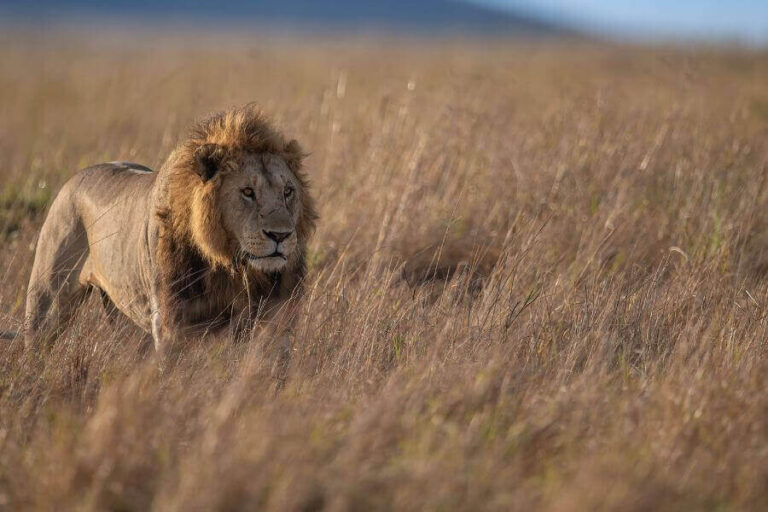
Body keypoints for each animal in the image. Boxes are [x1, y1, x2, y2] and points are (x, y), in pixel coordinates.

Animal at [24, 104, 317, 359]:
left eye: (288, 191)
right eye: (247, 192)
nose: (280, 235)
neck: (234, 266)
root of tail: (72, 181)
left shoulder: (277, 324)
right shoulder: (172, 327)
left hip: (125, 315)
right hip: (48, 300)